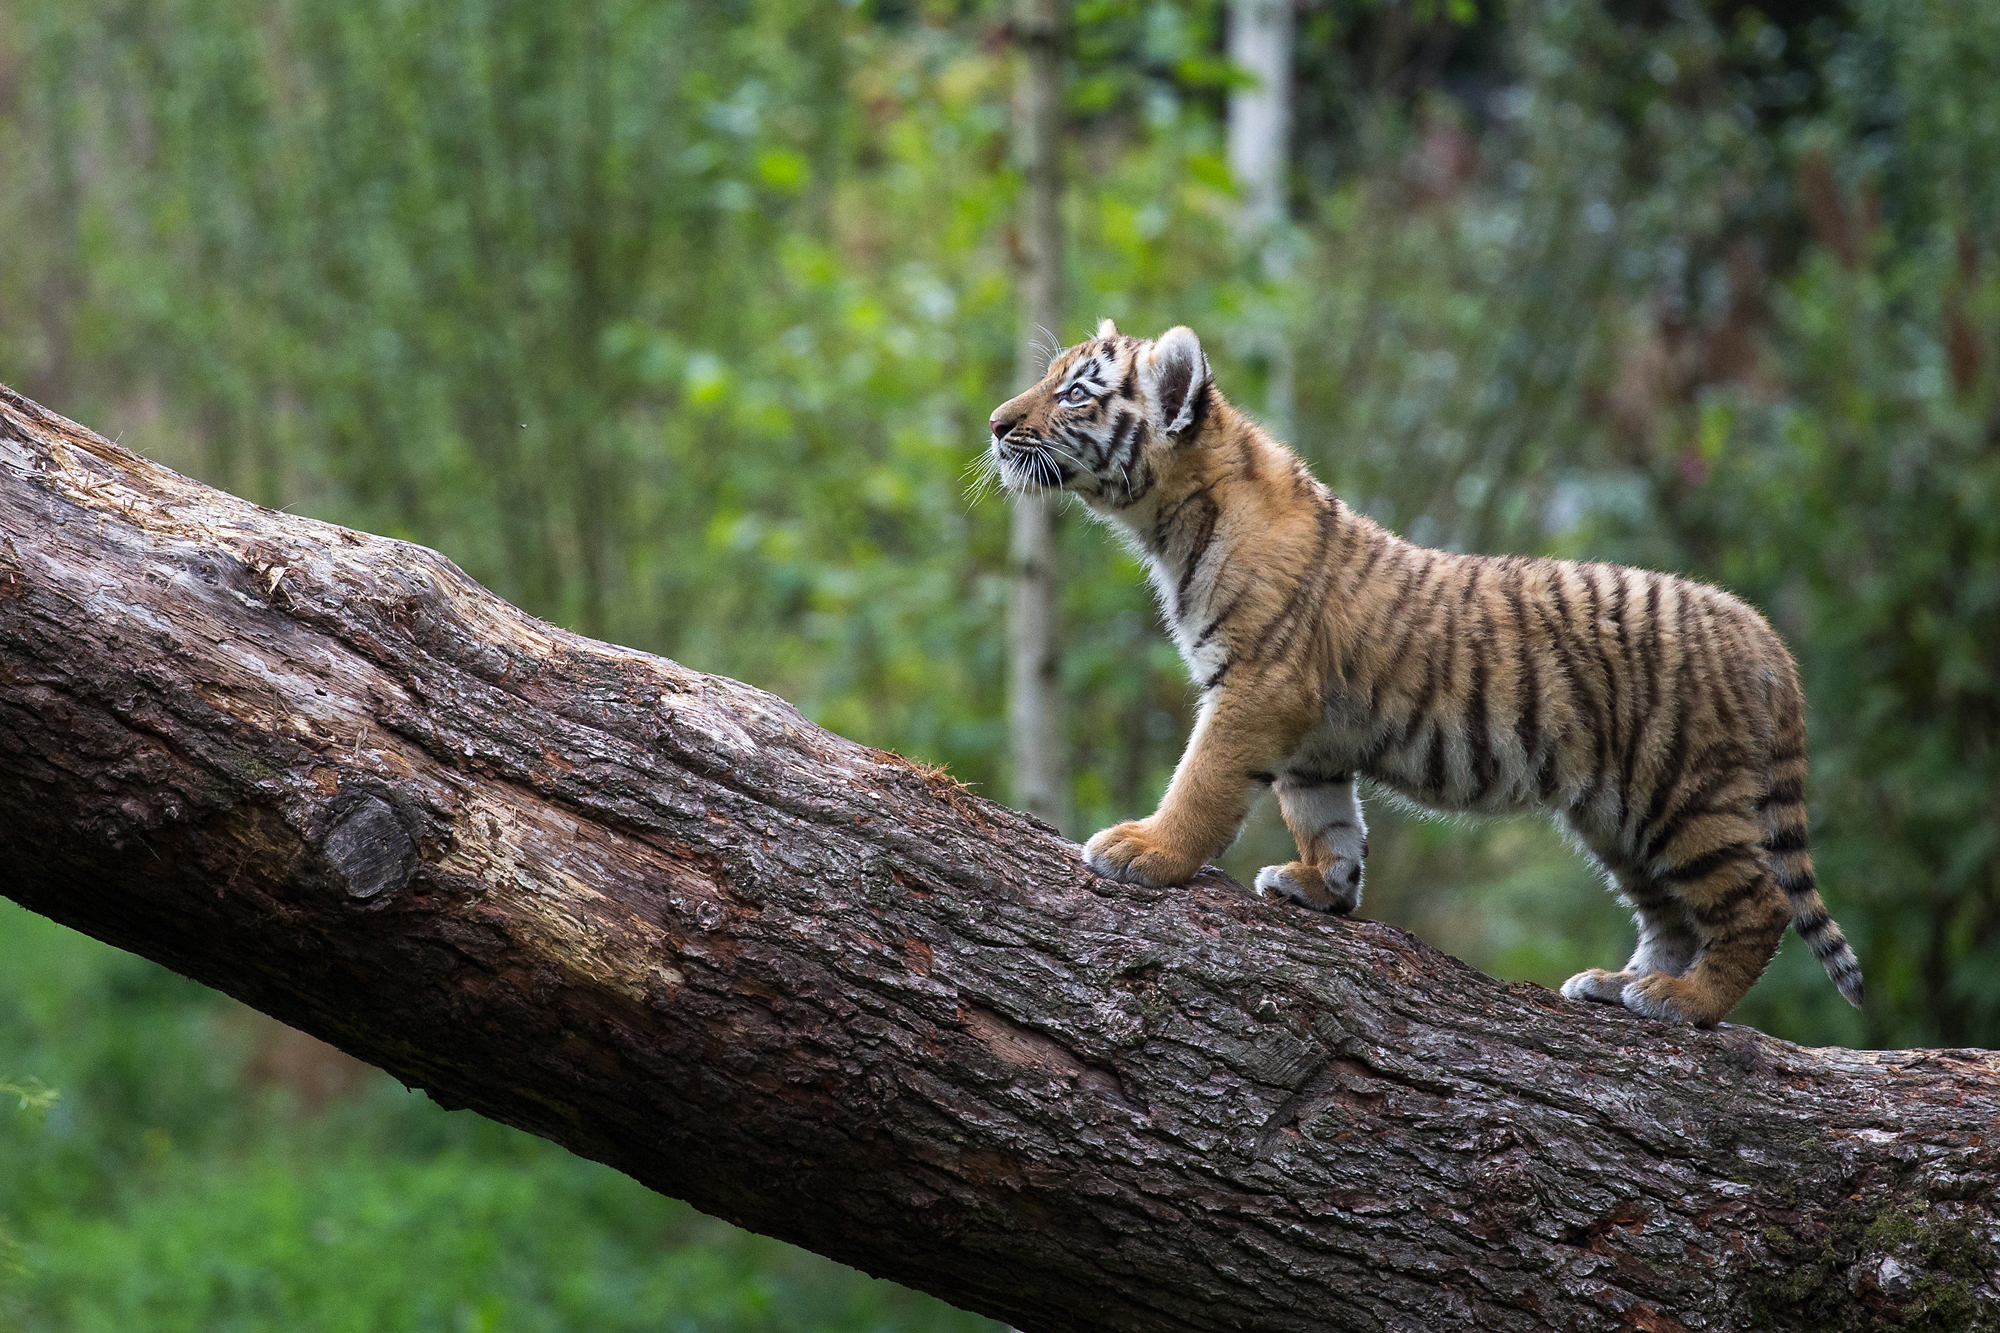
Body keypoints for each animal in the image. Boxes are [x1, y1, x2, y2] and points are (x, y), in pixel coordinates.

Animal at [984, 320, 1863, 1026]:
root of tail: (1763, 633)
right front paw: (1324, 885)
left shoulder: (1255, 690)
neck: (1171, 526)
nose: (996, 425)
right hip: (1618, 817)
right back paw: (1619, 985)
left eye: (1074, 393)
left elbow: (1201, 781)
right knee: (1671, 915)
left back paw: (1686, 1002)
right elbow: (1325, 816)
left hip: (1683, 793)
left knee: (1756, 903)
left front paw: (1147, 850)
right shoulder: (1310, 735)